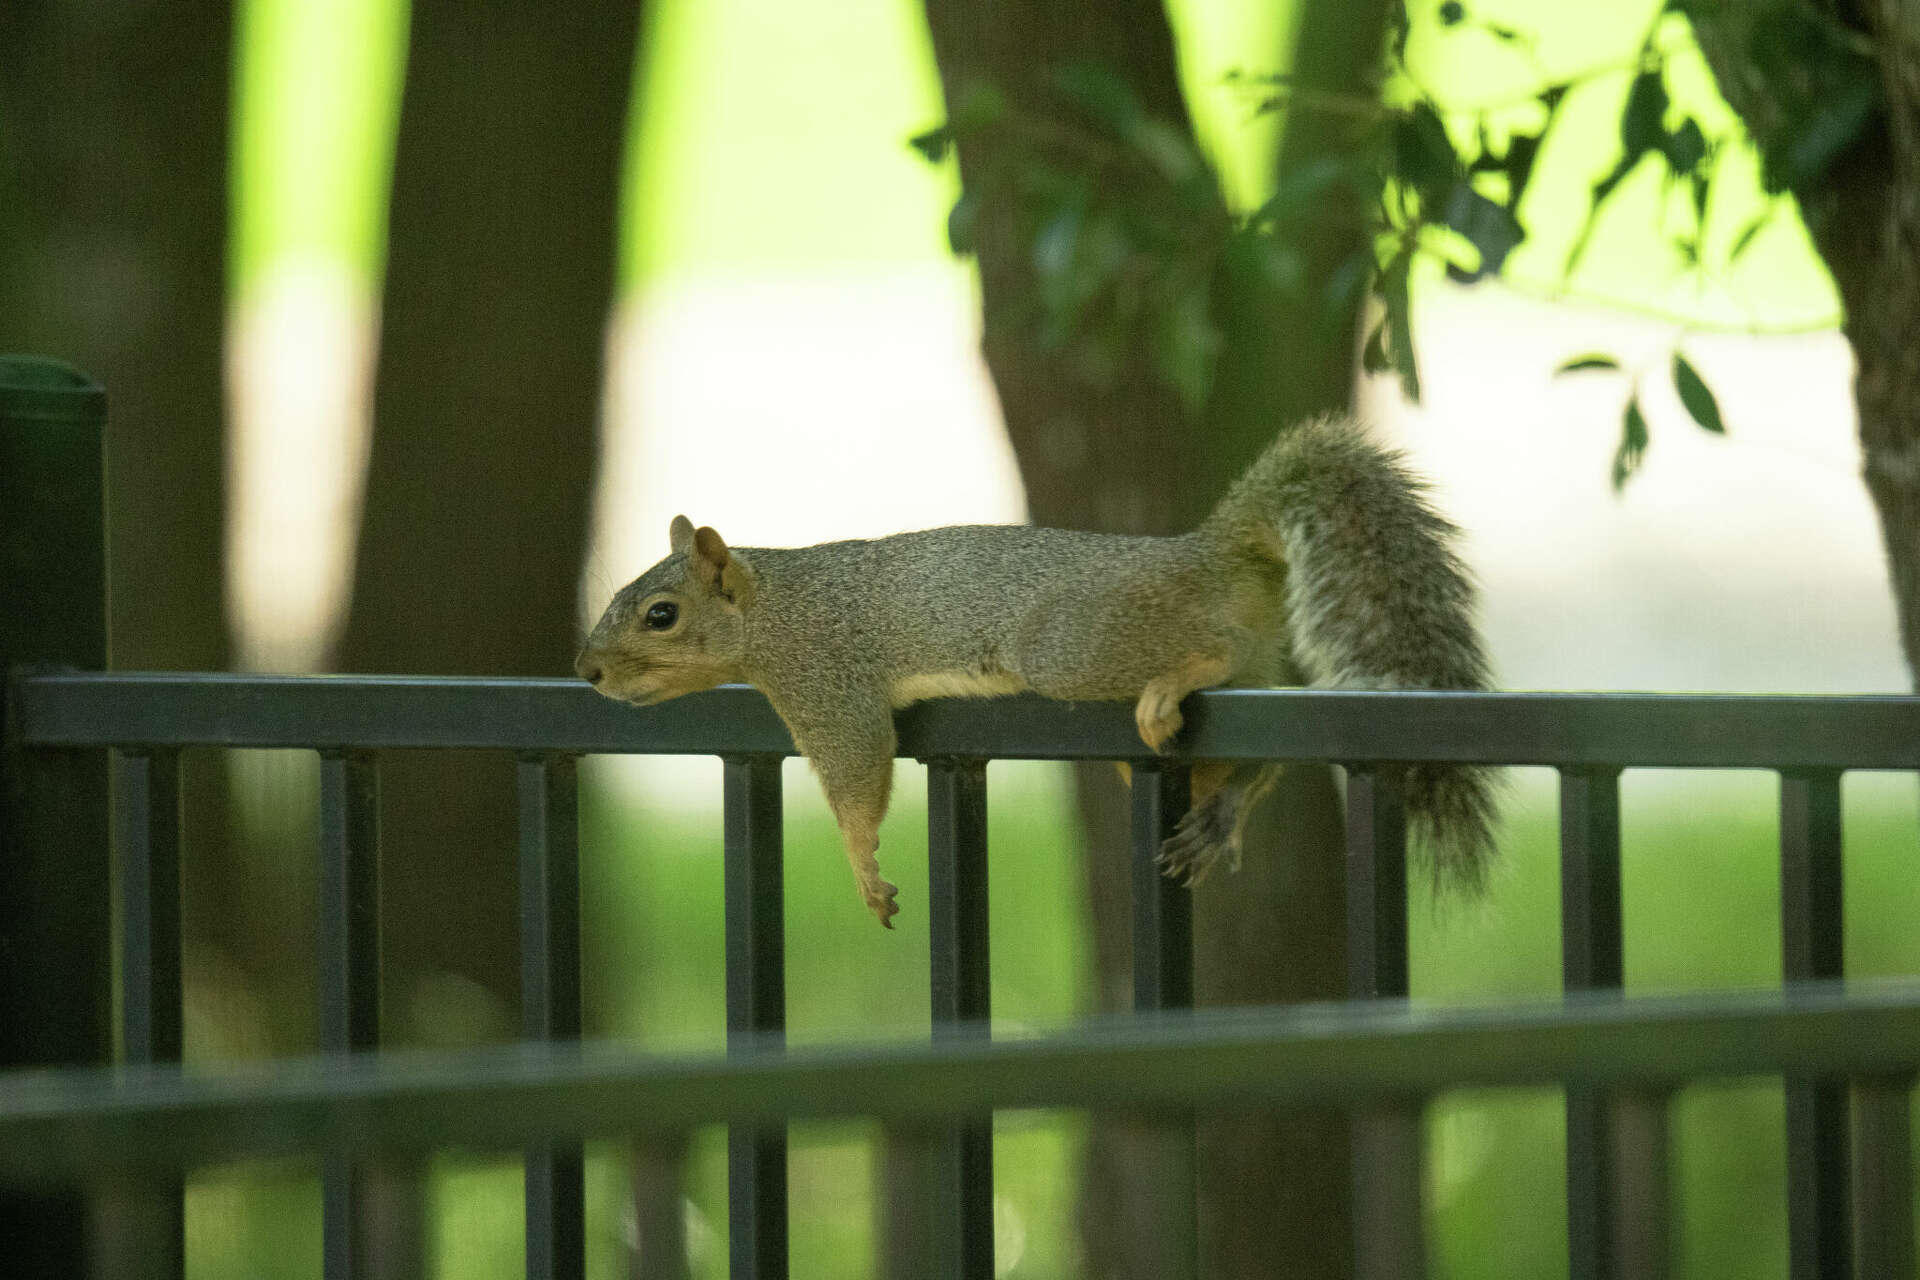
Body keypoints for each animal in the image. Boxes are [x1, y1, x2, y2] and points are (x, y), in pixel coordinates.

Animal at [576, 413, 1496, 928]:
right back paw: (1224, 811)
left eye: (661, 615)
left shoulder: (828, 684)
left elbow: (859, 777)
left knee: (1213, 658)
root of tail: (1211, 550)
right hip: (1229, 663)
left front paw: (865, 872)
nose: (587, 672)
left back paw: (1173, 690)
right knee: (1262, 719)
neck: (774, 610)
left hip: (1068, 645)